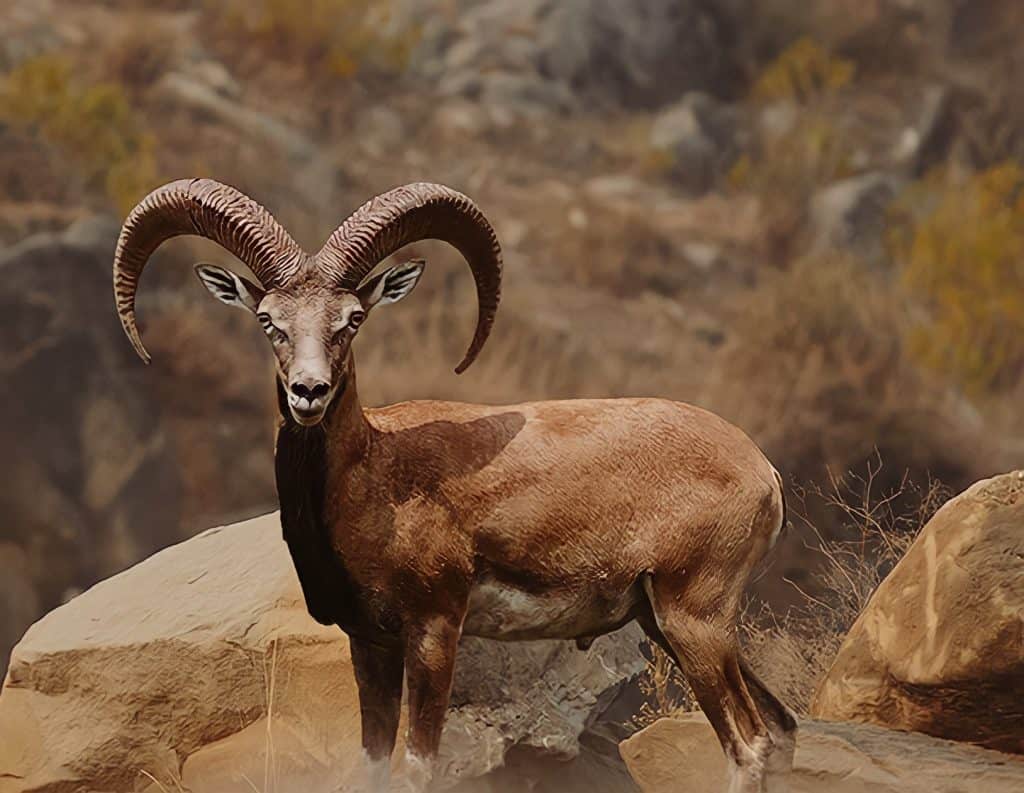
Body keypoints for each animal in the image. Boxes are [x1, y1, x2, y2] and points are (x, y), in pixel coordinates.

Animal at [113, 178, 796, 793]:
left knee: (749, 746)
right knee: (782, 729)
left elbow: (418, 766)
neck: (377, 476)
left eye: (352, 319)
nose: (309, 392)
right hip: (675, 626)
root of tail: (762, 471)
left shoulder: (436, 630)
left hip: (694, 621)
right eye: (267, 320)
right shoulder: (371, 647)